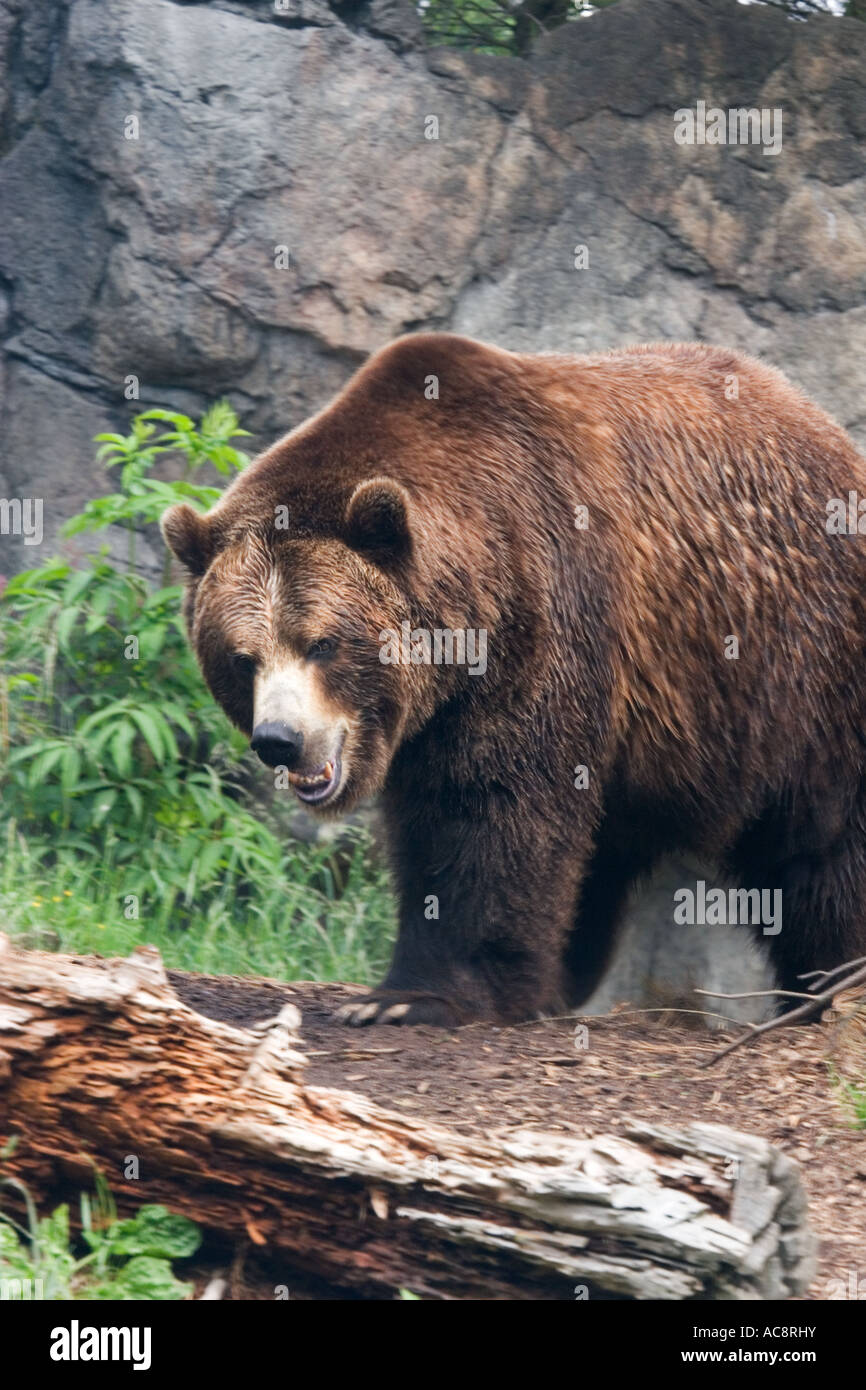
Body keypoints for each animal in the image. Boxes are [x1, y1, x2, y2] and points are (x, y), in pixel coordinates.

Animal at [161, 332, 866, 1027]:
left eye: (323, 644)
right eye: (242, 657)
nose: (281, 740)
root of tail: (830, 432)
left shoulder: (543, 613)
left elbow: (490, 804)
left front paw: (415, 996)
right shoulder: (443, 704)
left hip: (800, 669)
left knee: (825, 840)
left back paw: (827, 988)